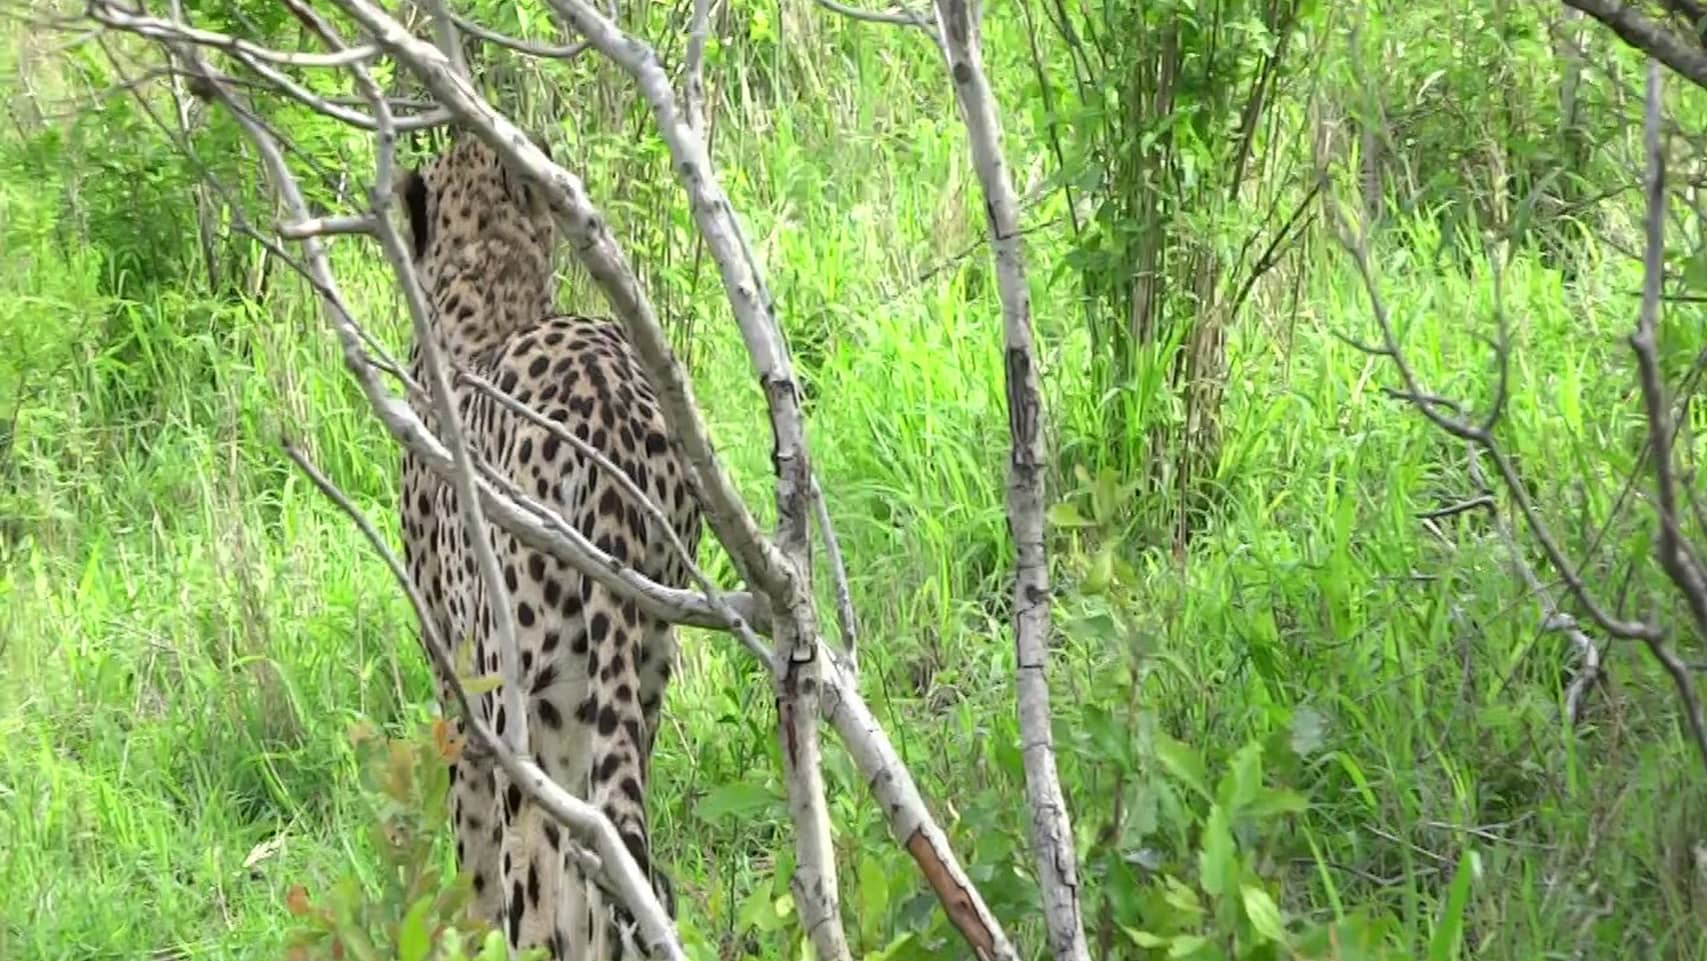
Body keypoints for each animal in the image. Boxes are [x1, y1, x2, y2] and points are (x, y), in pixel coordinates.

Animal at [395, 128, 702, 960]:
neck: (489, 284)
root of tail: (605, 417)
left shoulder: (460, 678)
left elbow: (471, 850)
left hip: (526, 703)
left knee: (538, 884)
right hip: (636, 668)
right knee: (611, 873)